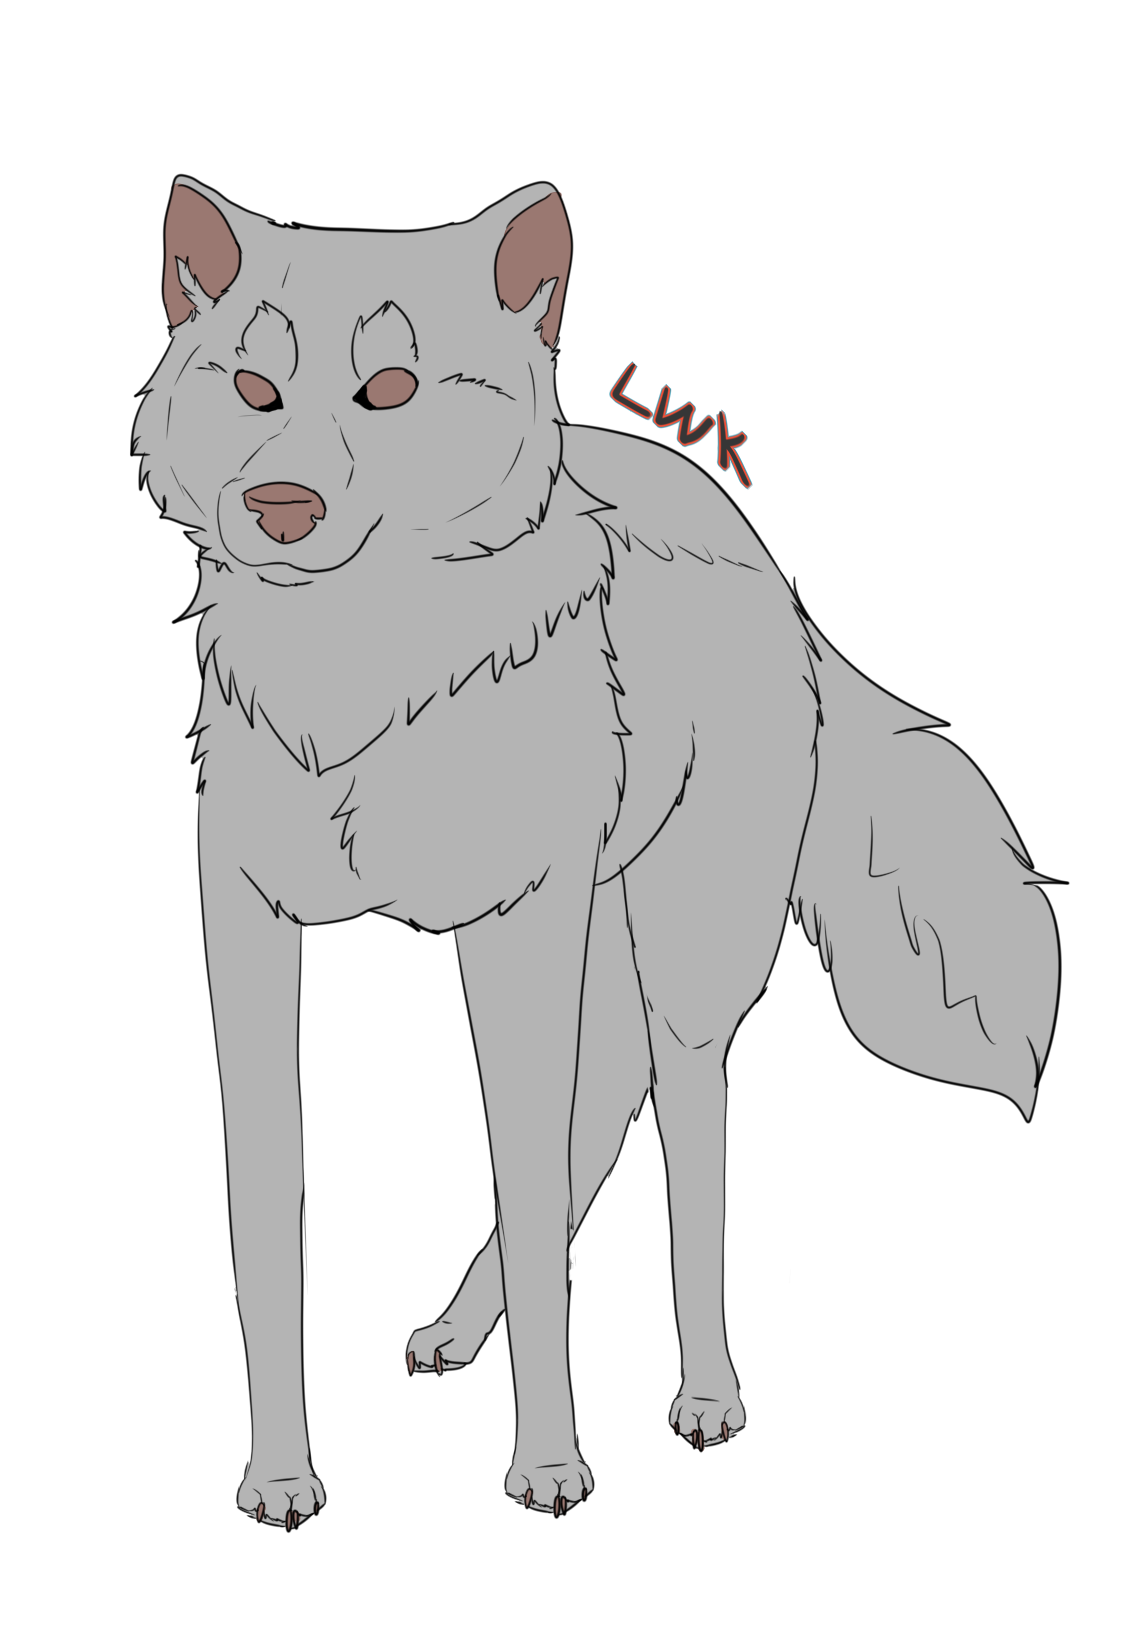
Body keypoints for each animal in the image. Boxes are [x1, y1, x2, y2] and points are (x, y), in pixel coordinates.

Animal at [132, 177, 1061, 1529]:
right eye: (255, 389)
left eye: (391, 388)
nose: (282, 507)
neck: (361, 691)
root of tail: (766, 556)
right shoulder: (248, 923)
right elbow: (271, 1204)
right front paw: (281, 1476)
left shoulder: (518, 926)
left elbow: (526, 1180)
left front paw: (549, 1465)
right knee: (600, 1118)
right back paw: (457, 1329)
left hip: (683, 966)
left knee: (680, 1135)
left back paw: (708, 1394)